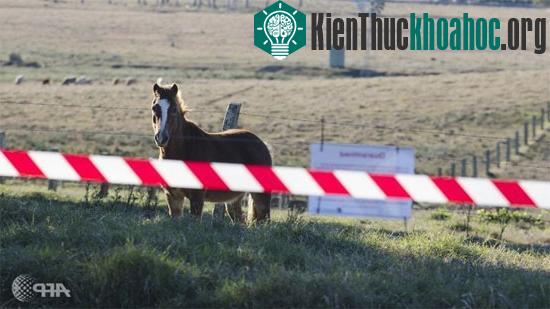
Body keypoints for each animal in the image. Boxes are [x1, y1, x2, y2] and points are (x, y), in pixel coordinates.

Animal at [151, 82, 274, 221]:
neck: (185, 149)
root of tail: (263, 145)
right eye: (154, 108)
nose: (161, 137)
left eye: (173, 109)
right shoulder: (173, 196)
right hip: (234, 199)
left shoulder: (197, 197)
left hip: (261, 196)